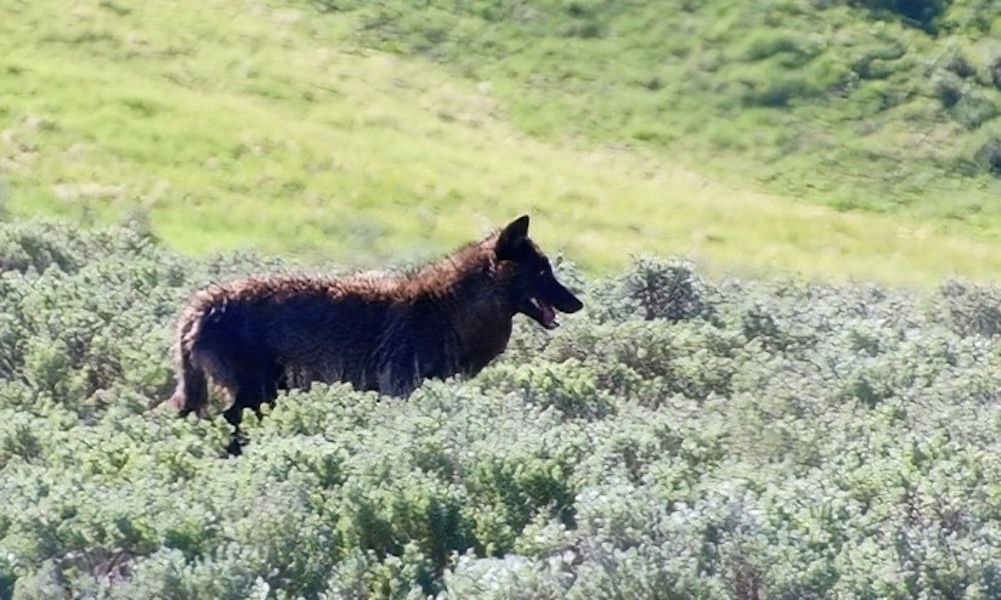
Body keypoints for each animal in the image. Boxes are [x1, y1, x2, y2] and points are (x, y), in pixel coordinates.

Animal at [169, 215, 583, 452]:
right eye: (542, 272)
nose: (578, 303)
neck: (449, 310)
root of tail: (196, 309)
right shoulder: (399, 391)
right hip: (257, 396)